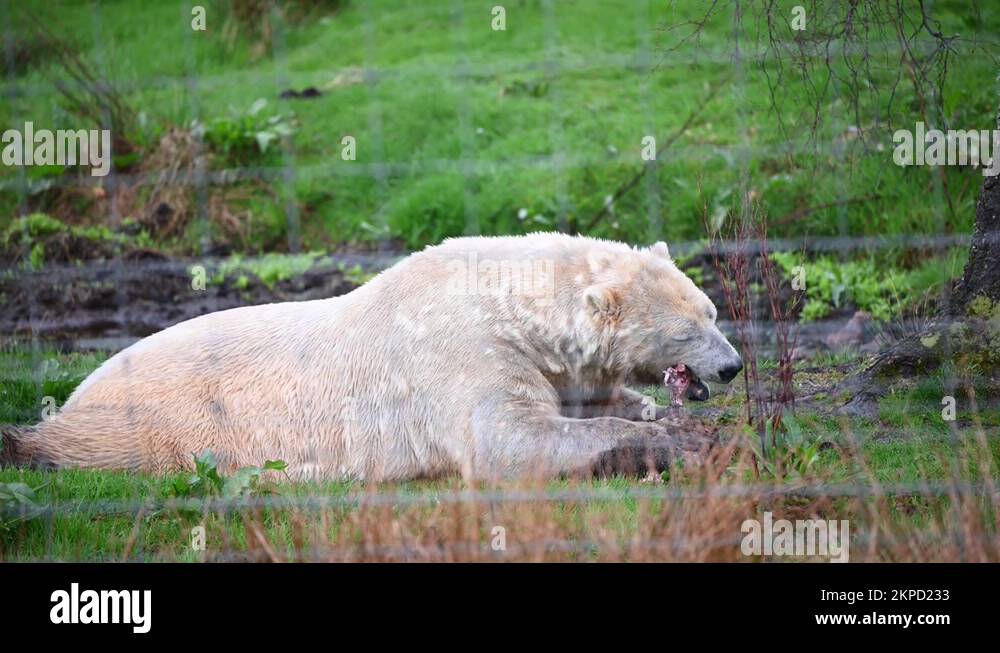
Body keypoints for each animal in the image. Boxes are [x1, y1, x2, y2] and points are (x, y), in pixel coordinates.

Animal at [1, 233, 743, 481]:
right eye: (691, 328)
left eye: (712, 312)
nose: (733, 365)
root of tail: (76, 392)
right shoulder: (462, 349)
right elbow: (506, 438)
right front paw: (671, 443)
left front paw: (650, 409)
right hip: (156, 423)